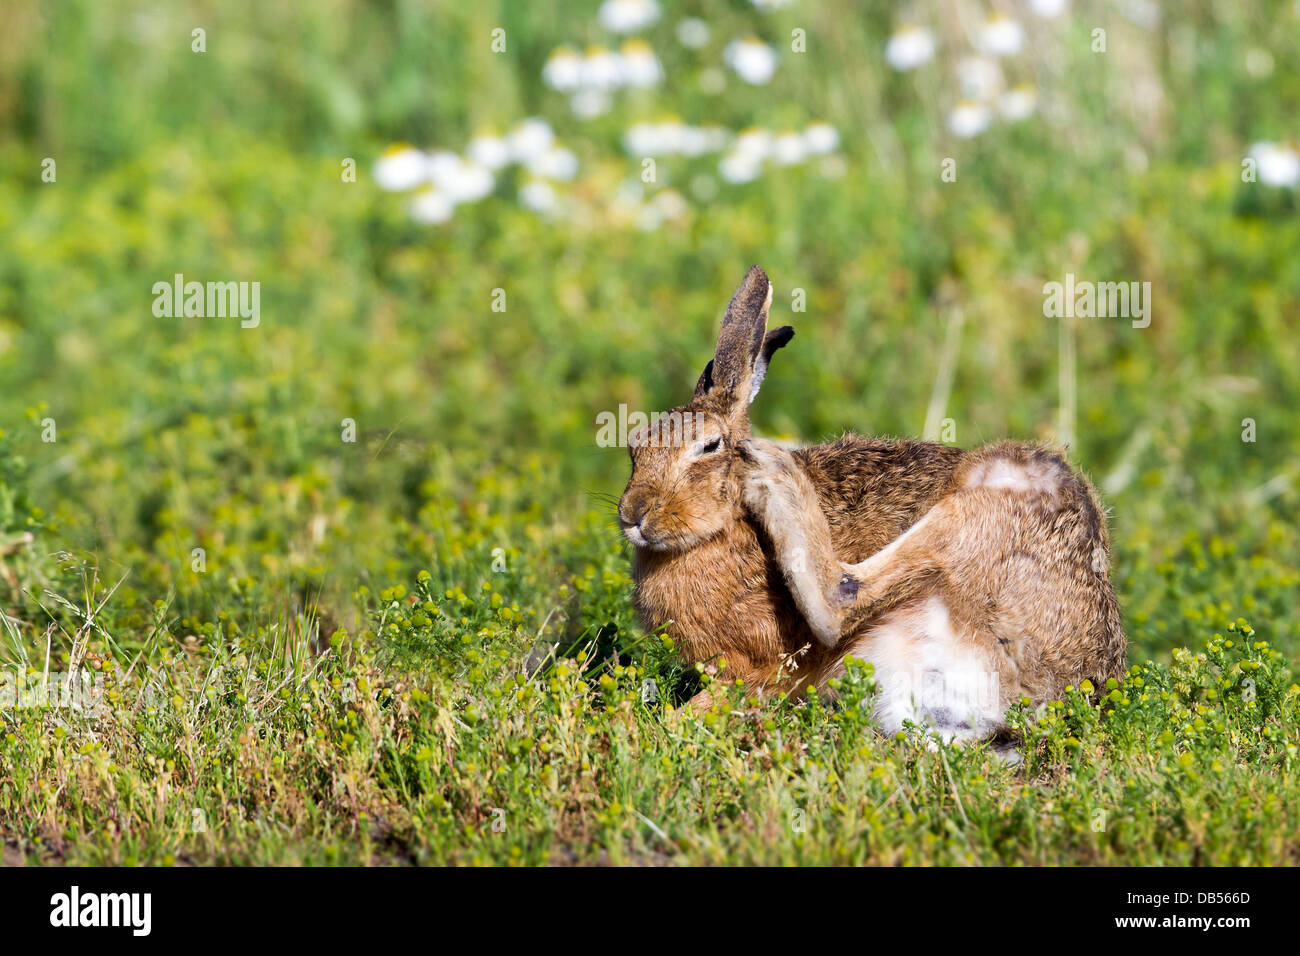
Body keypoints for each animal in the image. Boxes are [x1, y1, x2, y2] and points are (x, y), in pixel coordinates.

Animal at [617, 265, 1126, 745]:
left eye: (709, 446)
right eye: (635, 443)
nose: (633, 514)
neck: (721, 527)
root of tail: (1063, 689)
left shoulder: (760, 663)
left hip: (1000, 495)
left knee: (840, 598)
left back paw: (773, 470)